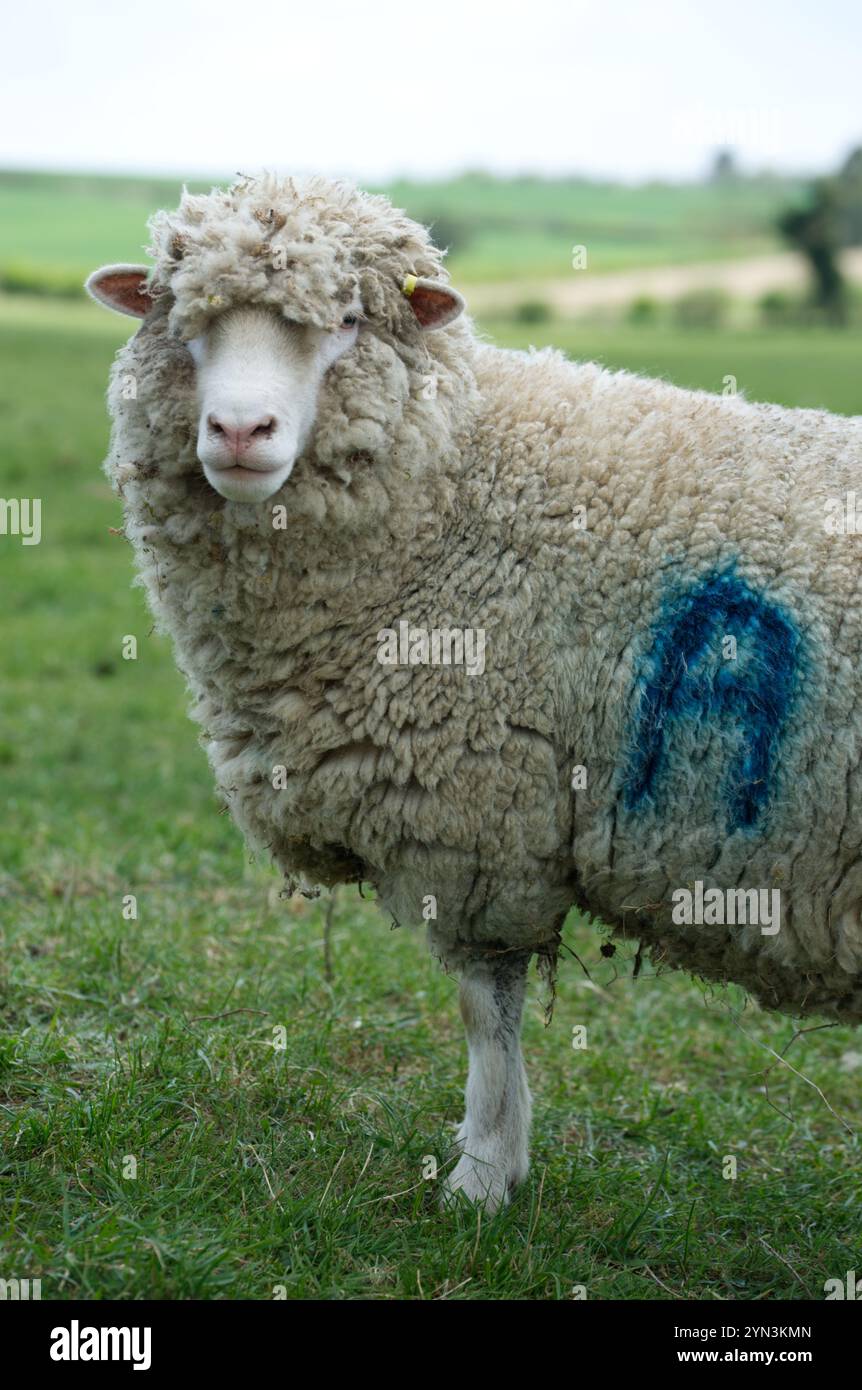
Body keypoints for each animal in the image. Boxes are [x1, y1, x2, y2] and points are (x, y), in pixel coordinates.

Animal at [86, 174, 862, 1211]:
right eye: (186, 320)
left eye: (344, 322)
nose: (240, 432)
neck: (459, 477)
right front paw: (492, 1163)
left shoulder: (480, 812)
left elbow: (484, 1009)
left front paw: (483, 1177)